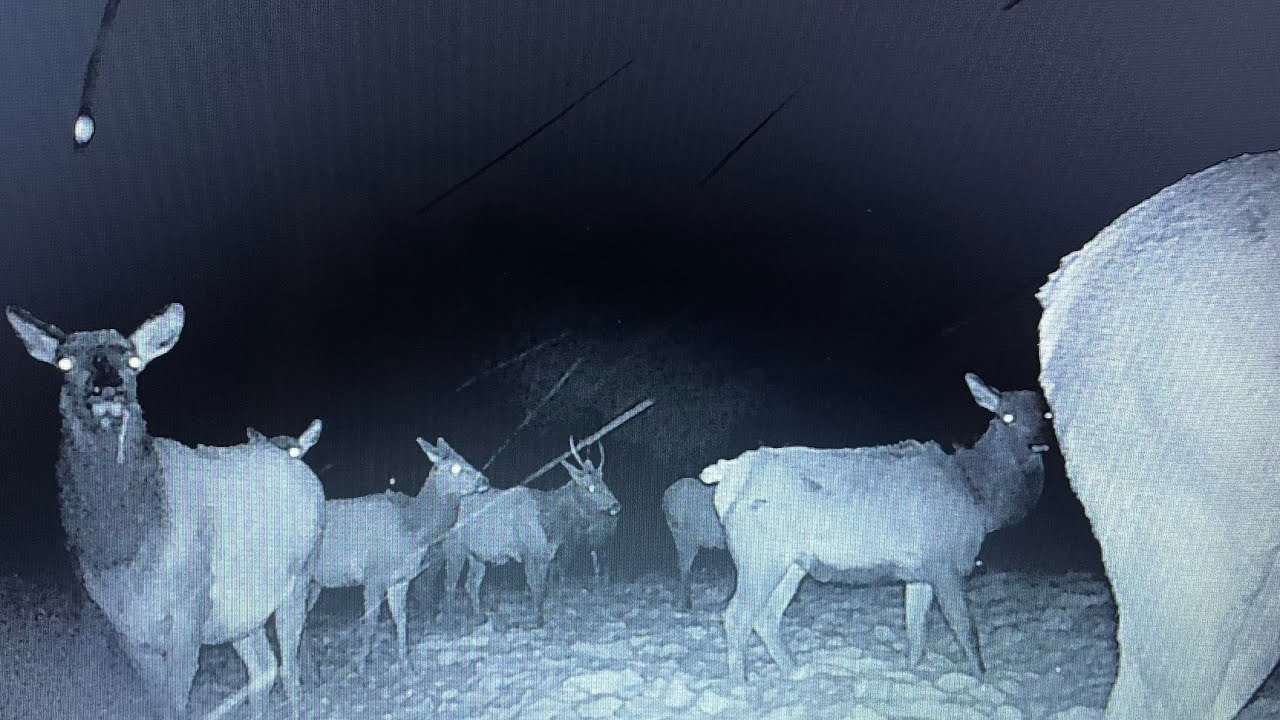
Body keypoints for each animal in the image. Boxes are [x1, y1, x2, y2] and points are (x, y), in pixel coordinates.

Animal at [6, 303, 325, 720]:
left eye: (133, 360)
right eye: (64, 362)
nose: (108, 388)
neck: (127, 558)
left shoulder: (189, 608)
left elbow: (176, 703)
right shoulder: (125, 627)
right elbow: (158, 702)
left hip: (299, 576)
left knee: (288, 664)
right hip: (243, 606)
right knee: (263, 665)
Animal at [307, 436, 489, 672]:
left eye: (465, 458)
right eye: (455, 467)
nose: (484, 480)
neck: (411, 533)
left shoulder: (400, 579)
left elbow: (401, 618)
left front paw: (404, 662)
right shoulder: (373, 575)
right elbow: (371, 622)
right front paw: (361, 665)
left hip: (314, 582)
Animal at [442, 438, 620, 627]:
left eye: (604, 481)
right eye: (589, 487)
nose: (616, 505)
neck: (551, 526)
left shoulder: (545, 554)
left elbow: (542, 587)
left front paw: (540, 619)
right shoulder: (528, 550)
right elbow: (535, 586)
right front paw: (537, 621)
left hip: (478, 555)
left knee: (471, 583)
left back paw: (479, 617)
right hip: (455, 546)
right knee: (450, 583)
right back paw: (449, 620)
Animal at [701, 373, 1051, 681]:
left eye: (1046, 414)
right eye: (1007, 417)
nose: (1038, 444)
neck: (981, 499)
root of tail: (728, 476)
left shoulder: (920, 570)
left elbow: (916, 631)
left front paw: (911, 672)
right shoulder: (944, 563)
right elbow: (967, 631)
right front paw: (982, 679)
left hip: (791, 563)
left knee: (766, 616)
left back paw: (794, 672)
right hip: (760, 554)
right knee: (737, 615)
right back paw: (740, 685)